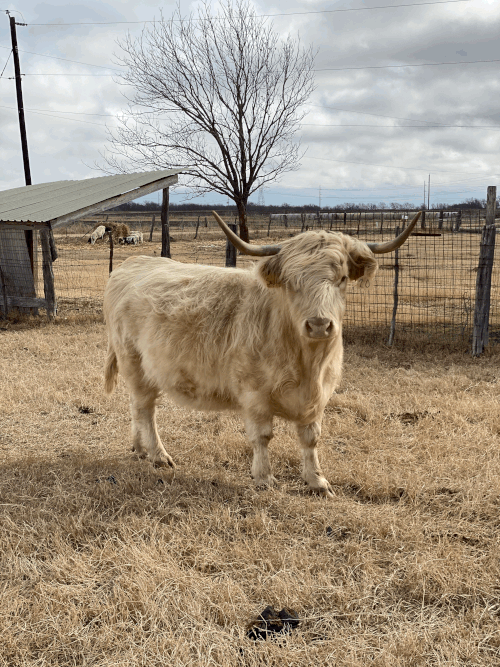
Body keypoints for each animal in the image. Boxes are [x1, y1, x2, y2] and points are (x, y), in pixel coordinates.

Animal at [103, 211, 420, 498]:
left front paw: (317, 481)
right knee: (145, 409)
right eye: (292, 281)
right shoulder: (255, 395)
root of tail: (132, 263)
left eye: (342, 278)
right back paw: (158, 455)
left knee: (136, 407)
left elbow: (311, 438)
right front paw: (265, 478)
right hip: (134, 364)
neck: (308, 363)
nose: (319, 325)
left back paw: (139, 448)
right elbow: (263, 437)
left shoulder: (320, 396)